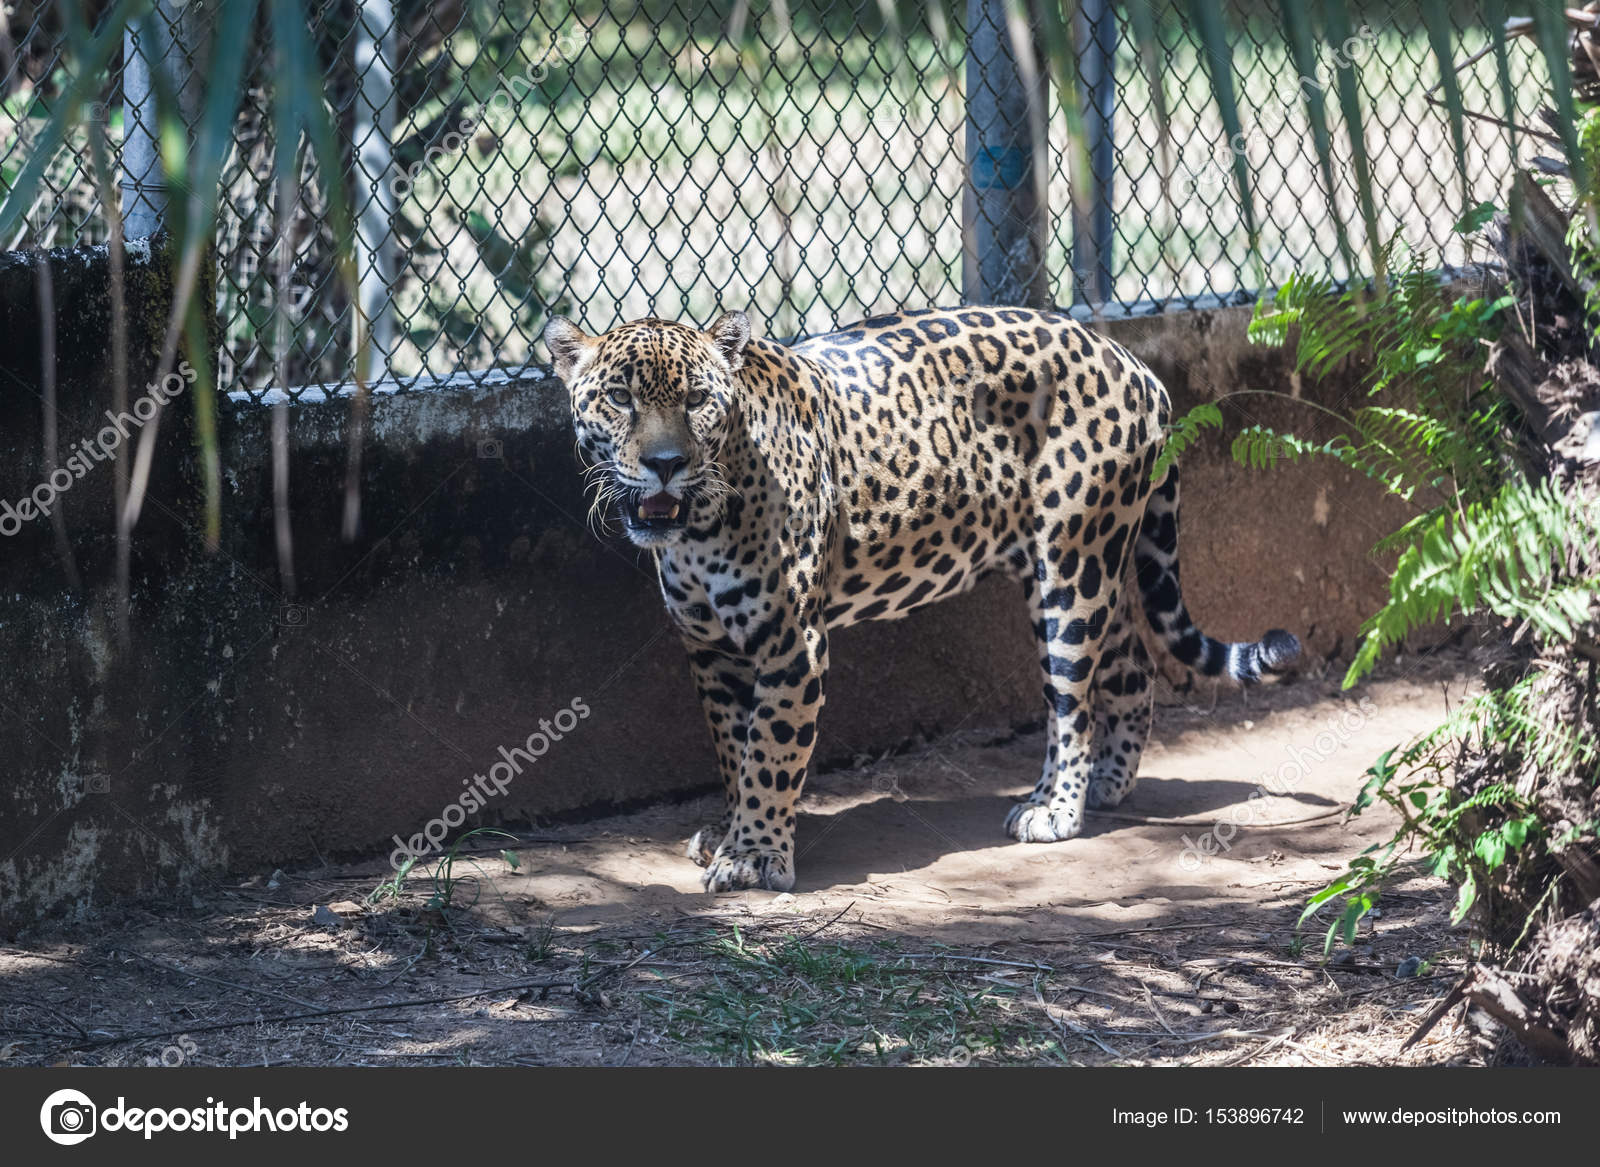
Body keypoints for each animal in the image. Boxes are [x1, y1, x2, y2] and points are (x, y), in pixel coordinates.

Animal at [543, 305, 1299, 893]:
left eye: (699, 400)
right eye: (620, 398)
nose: (665, 463)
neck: (698, 526)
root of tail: (1136, 365)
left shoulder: (792, 646)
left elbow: (772, 752)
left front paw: (755, 855)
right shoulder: (711, 650)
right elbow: (734, 750)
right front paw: (732, 832)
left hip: (1072, 569)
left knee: (1070, 701)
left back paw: (1054, 808)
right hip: (1093, 569)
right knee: (1131, 668)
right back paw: (1108, 784)